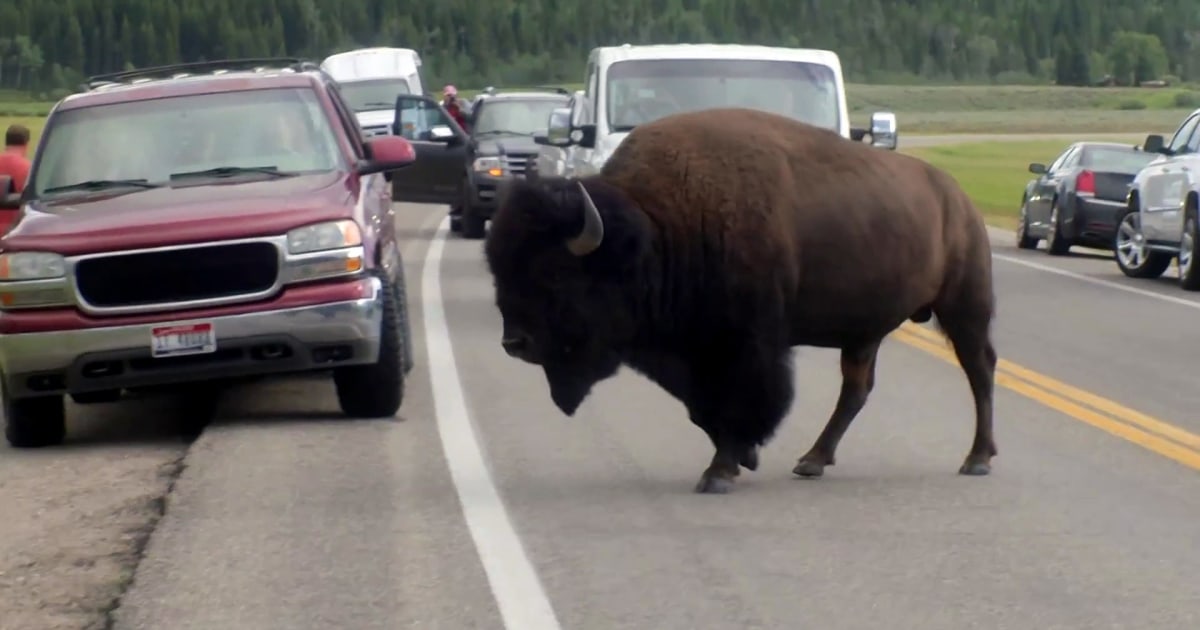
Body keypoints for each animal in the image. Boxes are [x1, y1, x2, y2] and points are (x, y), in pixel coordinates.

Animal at [484, 107, 997, 494]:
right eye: (500, 271)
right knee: (857, 389)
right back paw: (813, 460)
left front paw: (720, 471)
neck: (660, 226)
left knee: (980, 369)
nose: (514, 342)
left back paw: (977, 459)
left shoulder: (743, 345)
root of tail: (958, 198)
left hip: (963, 307)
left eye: (554, 273)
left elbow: (739, 400)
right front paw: (741, 458)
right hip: (864, 333)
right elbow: (701, 409)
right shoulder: (688, 352)